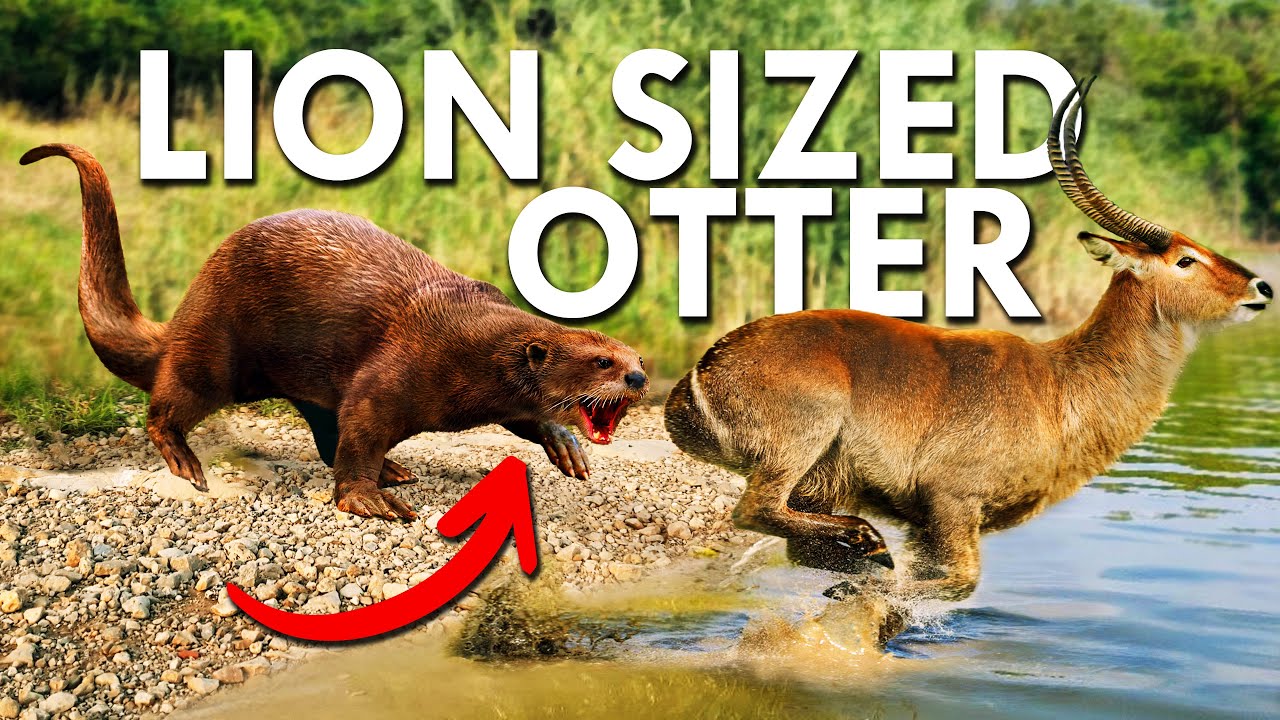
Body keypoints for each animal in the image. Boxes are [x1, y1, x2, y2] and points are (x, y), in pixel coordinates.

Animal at [22, 143, 649, 520]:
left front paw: (563, 443)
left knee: (324, 427)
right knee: (171, 401)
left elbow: (521, 415)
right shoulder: (399, 370)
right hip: (213, 349)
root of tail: (182, 314)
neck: (469, 343)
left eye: (633, 355)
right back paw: (187, 464)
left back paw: (397, 469)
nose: (639, 378)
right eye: (602, 362)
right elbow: (363, 428)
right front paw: (368, 501)